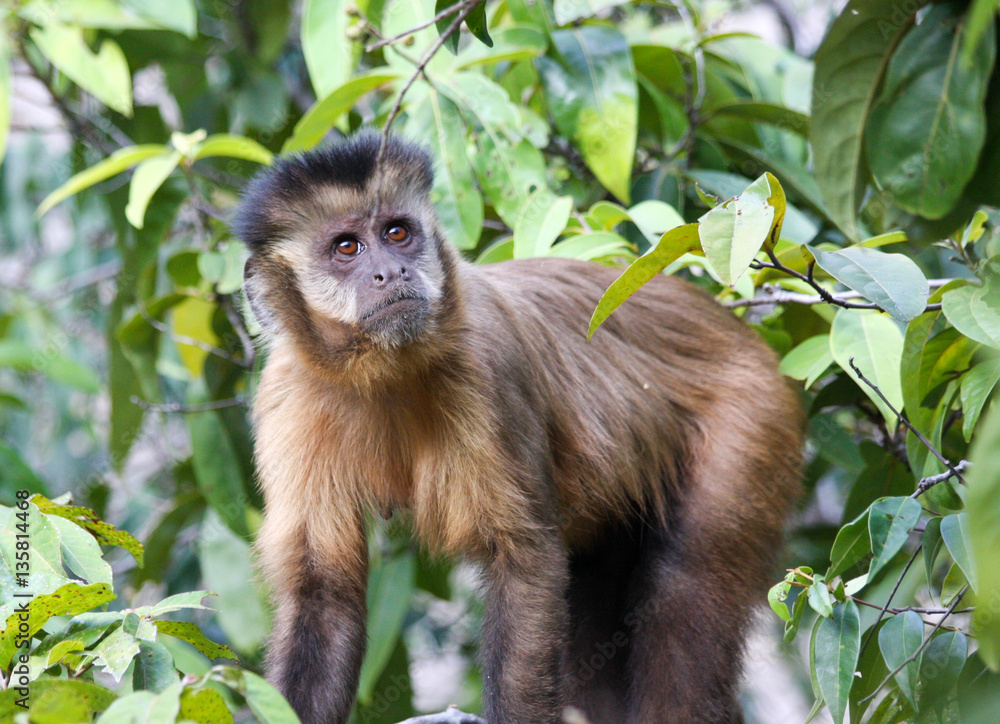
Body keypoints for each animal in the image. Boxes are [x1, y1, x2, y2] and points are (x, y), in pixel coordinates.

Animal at [233, 131, 803, 724]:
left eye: (396, 233)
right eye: (347, 248)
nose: (392, 272)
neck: (384, 371)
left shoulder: (490, 364)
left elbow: (526, 562)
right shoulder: (287, 399)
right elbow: (323, 594)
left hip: (754, 411)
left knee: (683, 589)